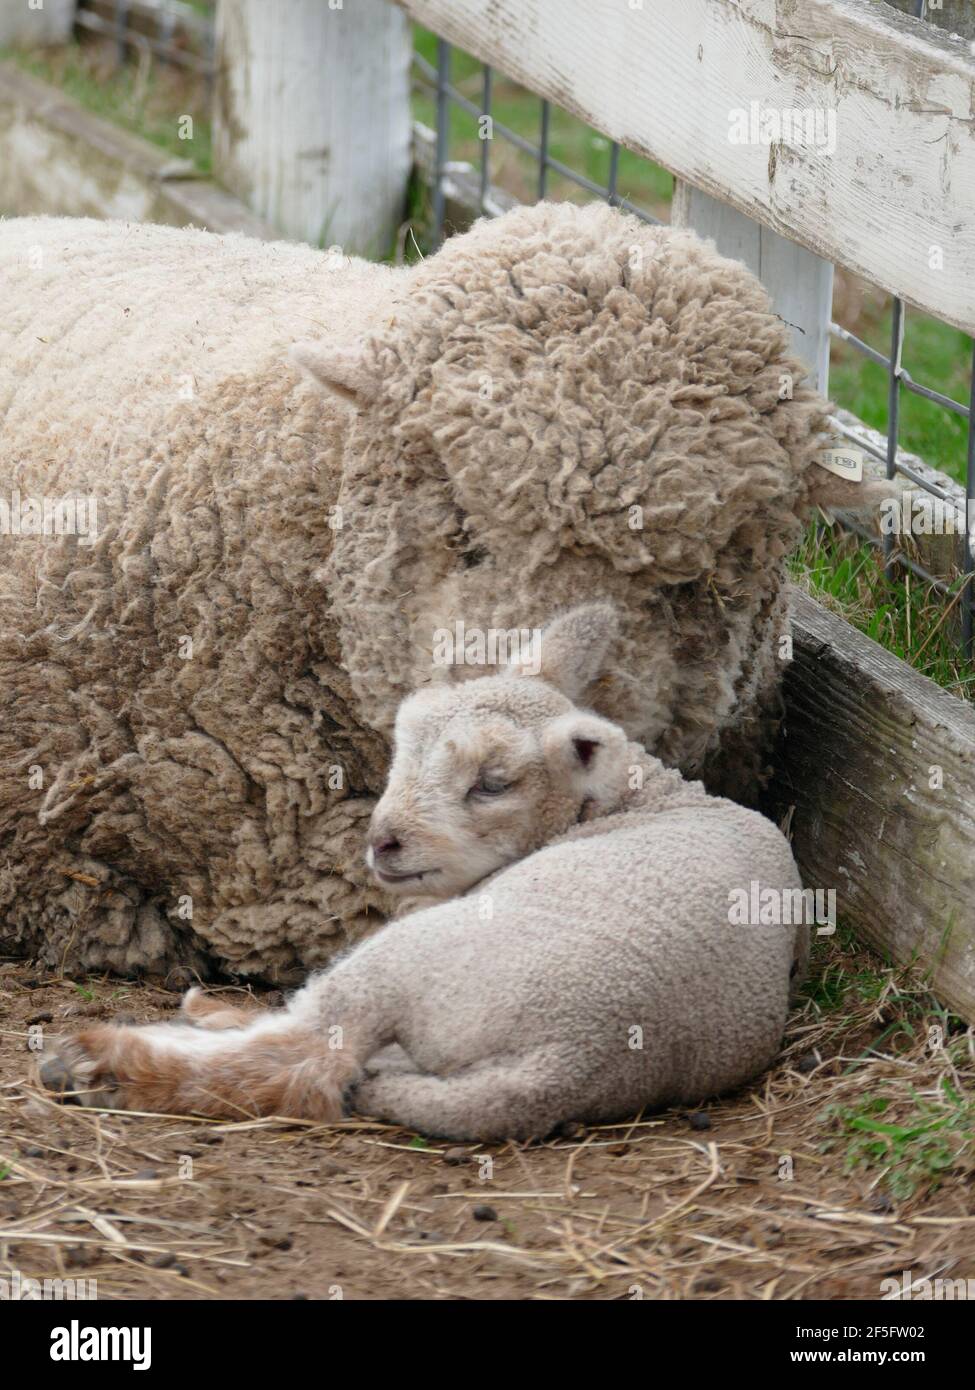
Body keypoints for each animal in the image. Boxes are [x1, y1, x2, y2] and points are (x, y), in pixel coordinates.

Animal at [38, 604, 807, 1140]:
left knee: (307, 1059)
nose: (383, 843)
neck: (632, 799)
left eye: (492, 783)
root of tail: (564, 1063)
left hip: (412, 963)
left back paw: (100, 1063)